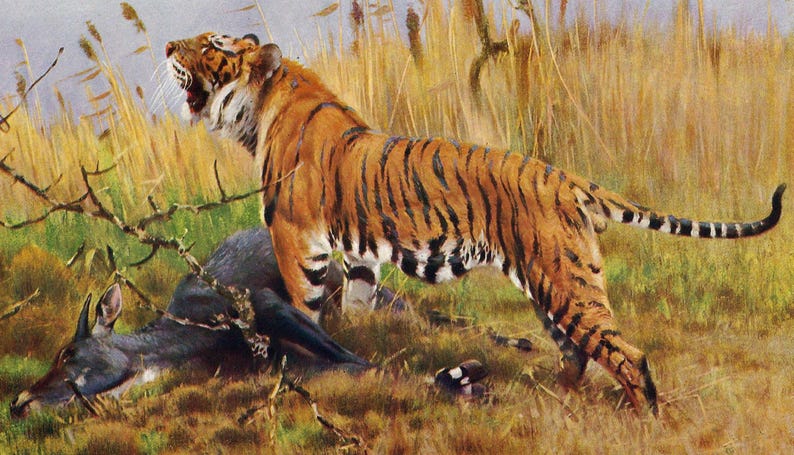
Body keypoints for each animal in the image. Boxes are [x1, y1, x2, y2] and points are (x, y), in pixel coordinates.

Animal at [165, 32, 785, 414]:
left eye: (214, 45)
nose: (169, 44)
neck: (261, 108)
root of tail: (565, 177)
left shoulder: (296, 240)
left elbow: (305, 310)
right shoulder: (358, 254)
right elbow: (356, 308)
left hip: (564, 284)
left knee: (625, 355)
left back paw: (642, 424)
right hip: (556, 282)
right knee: (577, 352)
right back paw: (554, 402)